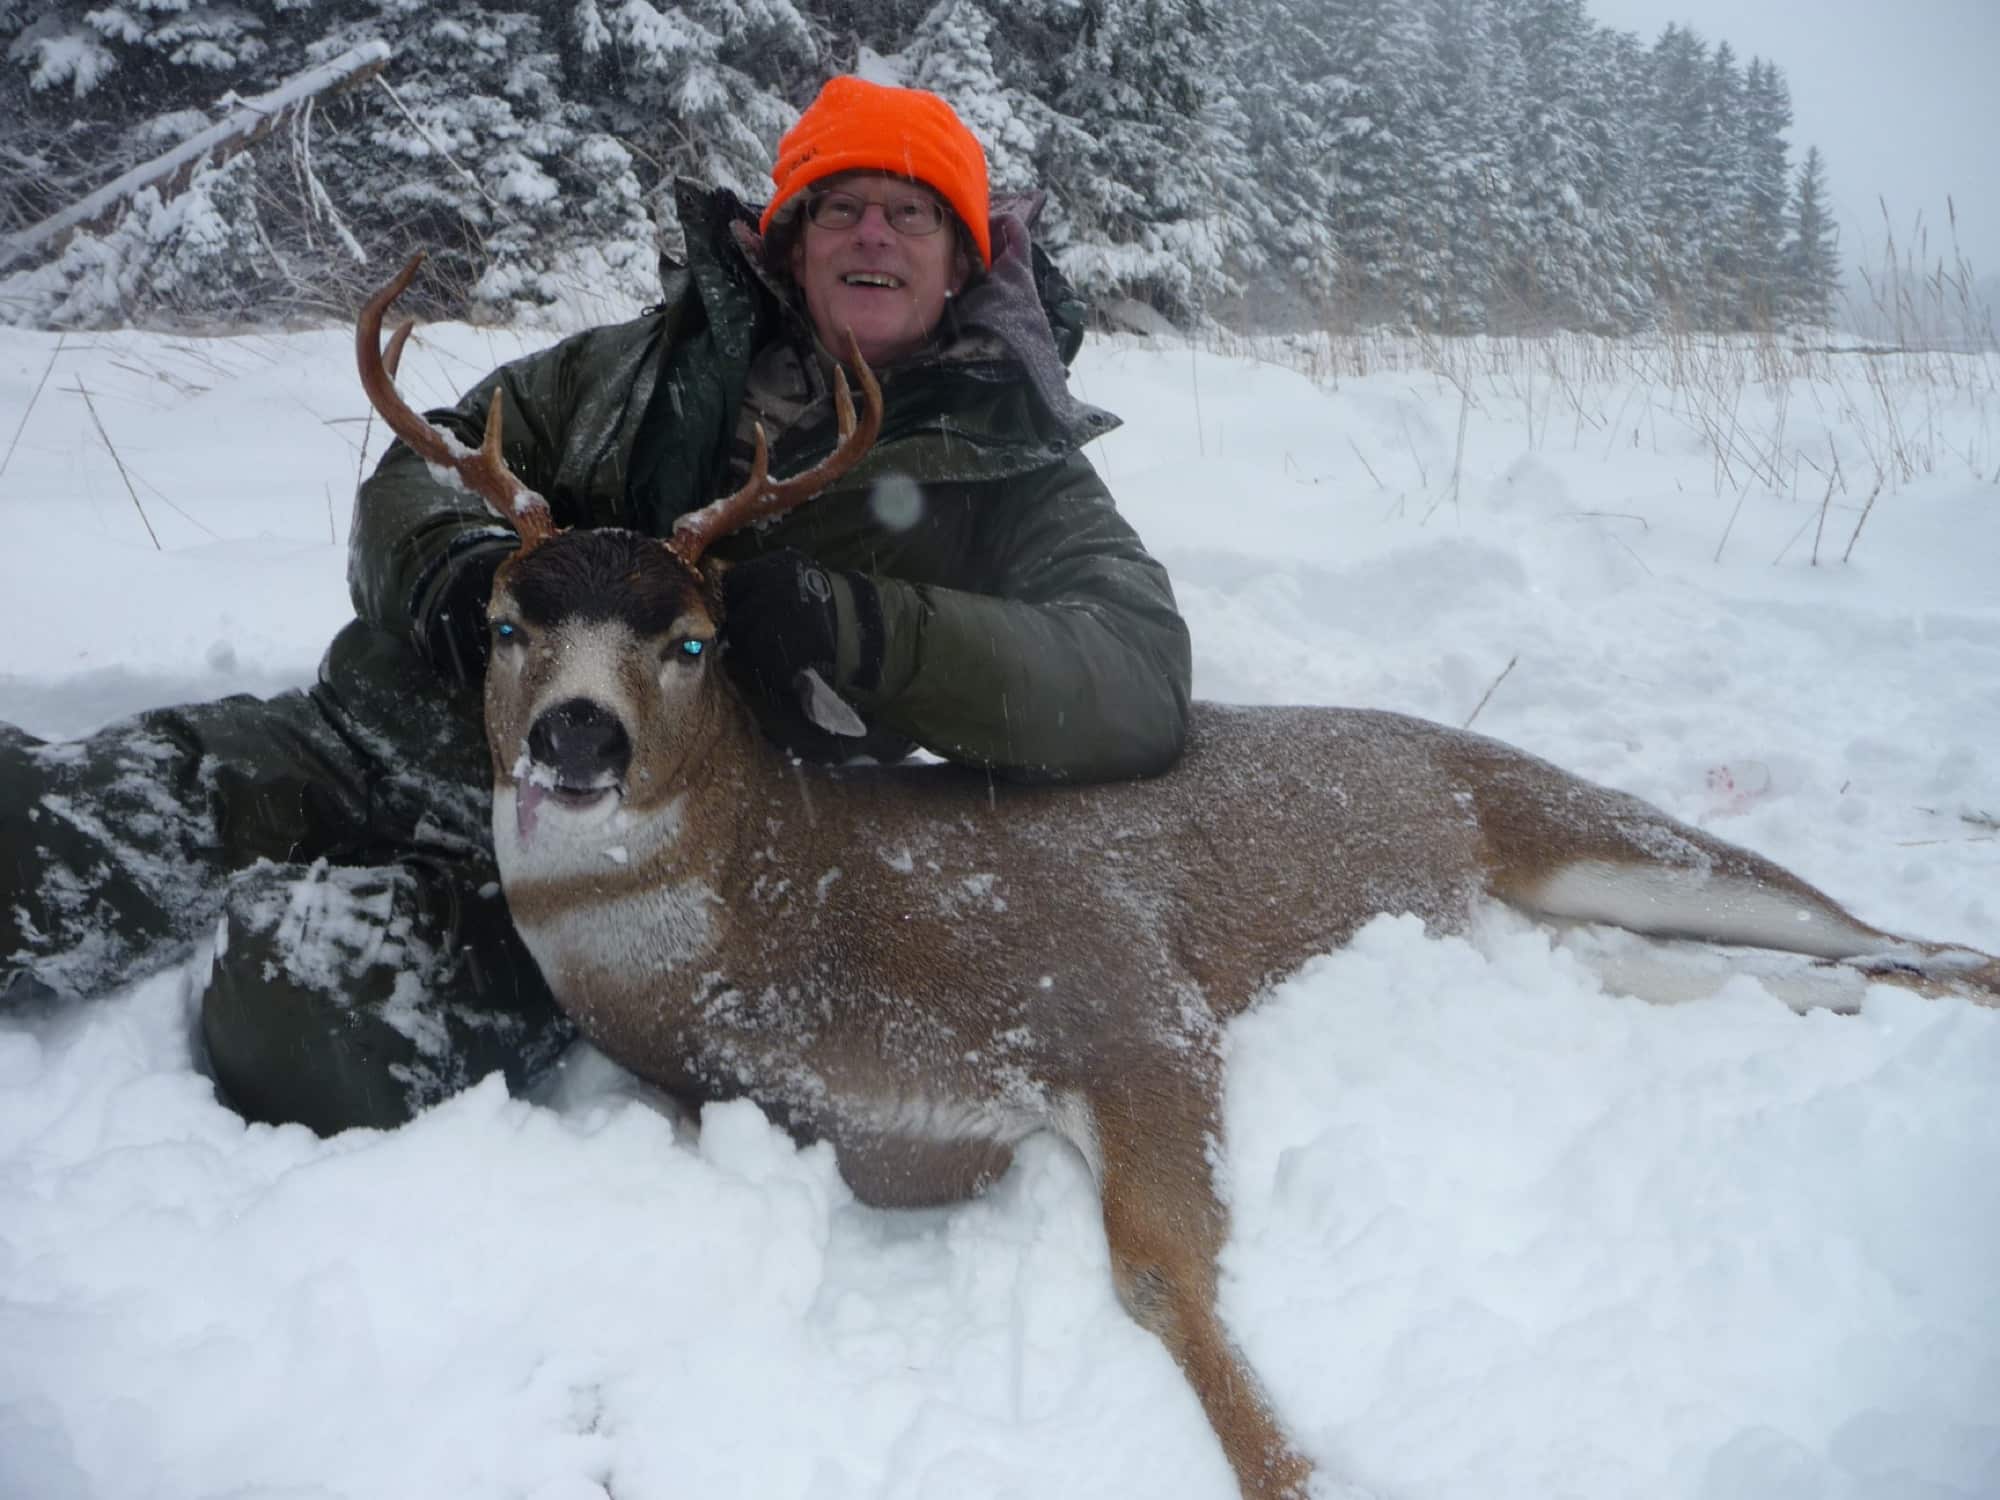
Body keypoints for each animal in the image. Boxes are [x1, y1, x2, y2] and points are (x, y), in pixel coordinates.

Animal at [358, 256, 1999, 1500]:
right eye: (503, 621)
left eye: (695, 637)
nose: (578, 735)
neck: (782, 926)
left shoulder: (1121, 992)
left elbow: (1160, 1275)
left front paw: (1293, 1470)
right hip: (1549, 930)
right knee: (1789, 973)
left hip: (1582, 825)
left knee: (1863, 923)